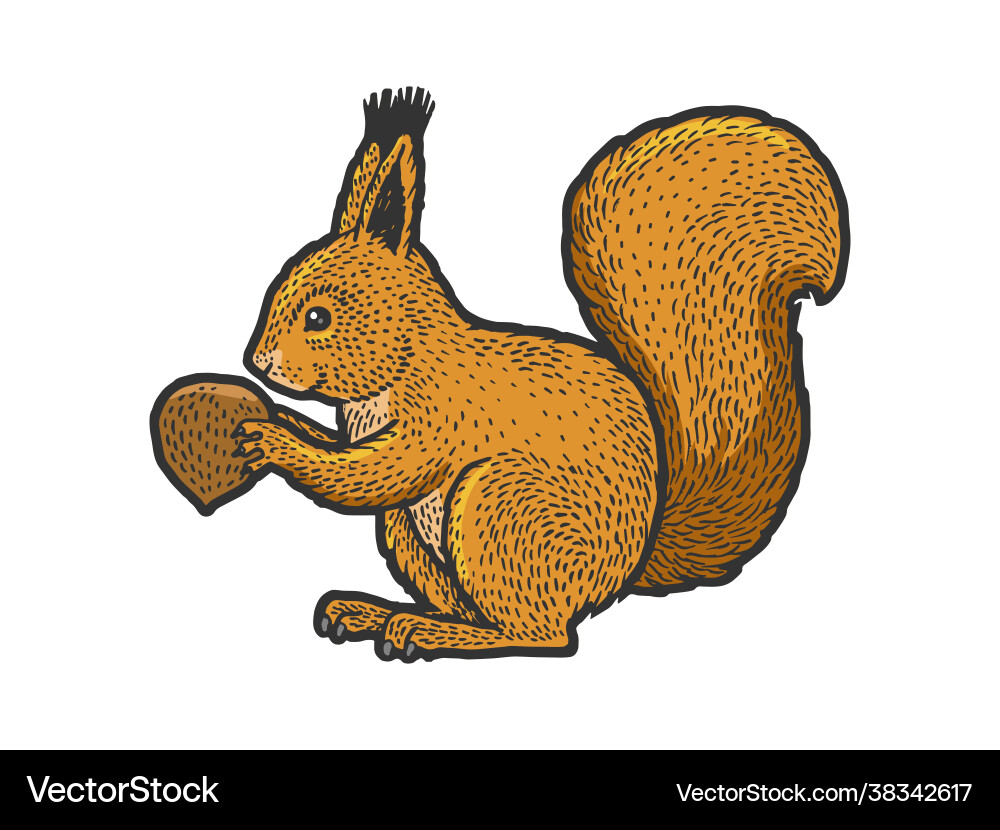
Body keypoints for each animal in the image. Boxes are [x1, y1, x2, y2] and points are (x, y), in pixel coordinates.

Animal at [233, 87, 848, 660]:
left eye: (318, 317)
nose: (255, 363)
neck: (406, 356)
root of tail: (624, 570)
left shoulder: (442, 414)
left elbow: (372, 474)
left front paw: (272, 439)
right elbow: (343, 455)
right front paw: (282, 420)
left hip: (498, 504)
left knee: (543, 635)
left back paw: (431, 632)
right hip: (410, 532)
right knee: (478, 608)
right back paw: (377, 614)